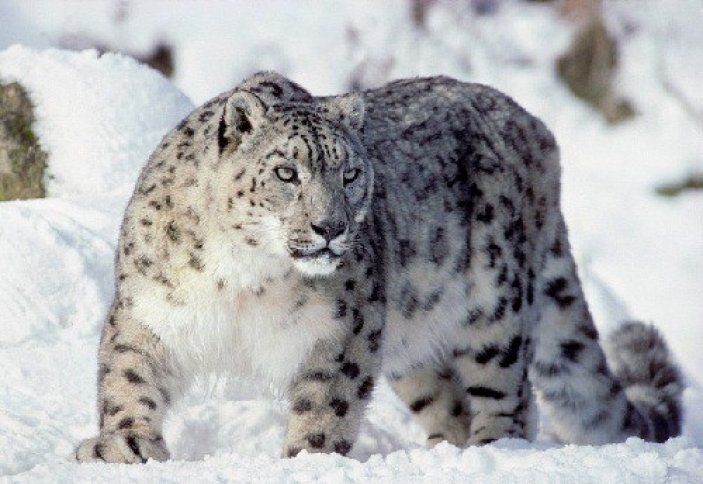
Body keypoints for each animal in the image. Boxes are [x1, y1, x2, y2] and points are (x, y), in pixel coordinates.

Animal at [74, 71, 683, 463]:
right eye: (287, 172)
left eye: (350, 174)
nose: (330, 227)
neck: (243, 278)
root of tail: (537, 129)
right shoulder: (149, 307)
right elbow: (128, 375)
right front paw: (124, 445)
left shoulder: (344, 325)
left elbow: (327, 401)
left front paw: (309, 460)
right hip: (413, 340)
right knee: (447, 401)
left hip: (497, 299)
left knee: (511, 394)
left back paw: (492, 451)